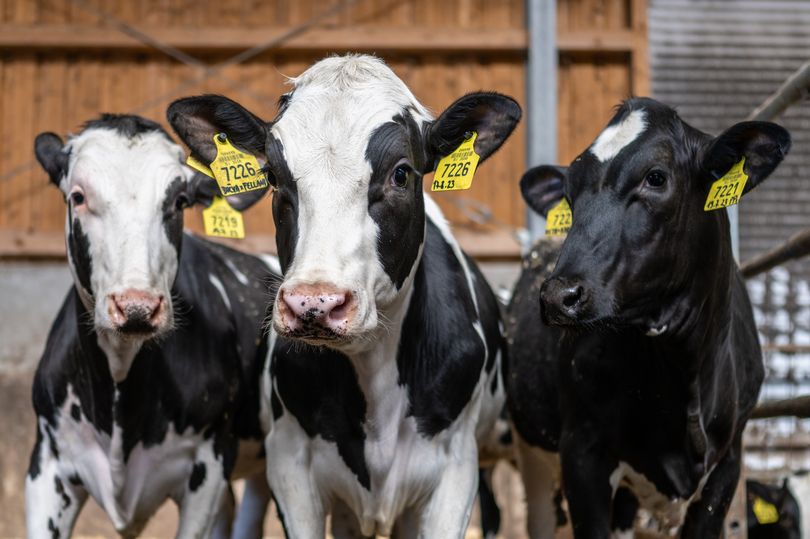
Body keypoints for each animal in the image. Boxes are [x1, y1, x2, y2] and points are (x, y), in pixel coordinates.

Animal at [508, 97, 791, 538]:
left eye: (655, 178)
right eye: (569, 194)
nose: (558, 296)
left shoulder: (727, 464)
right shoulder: (582, 454)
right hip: (532, 454)